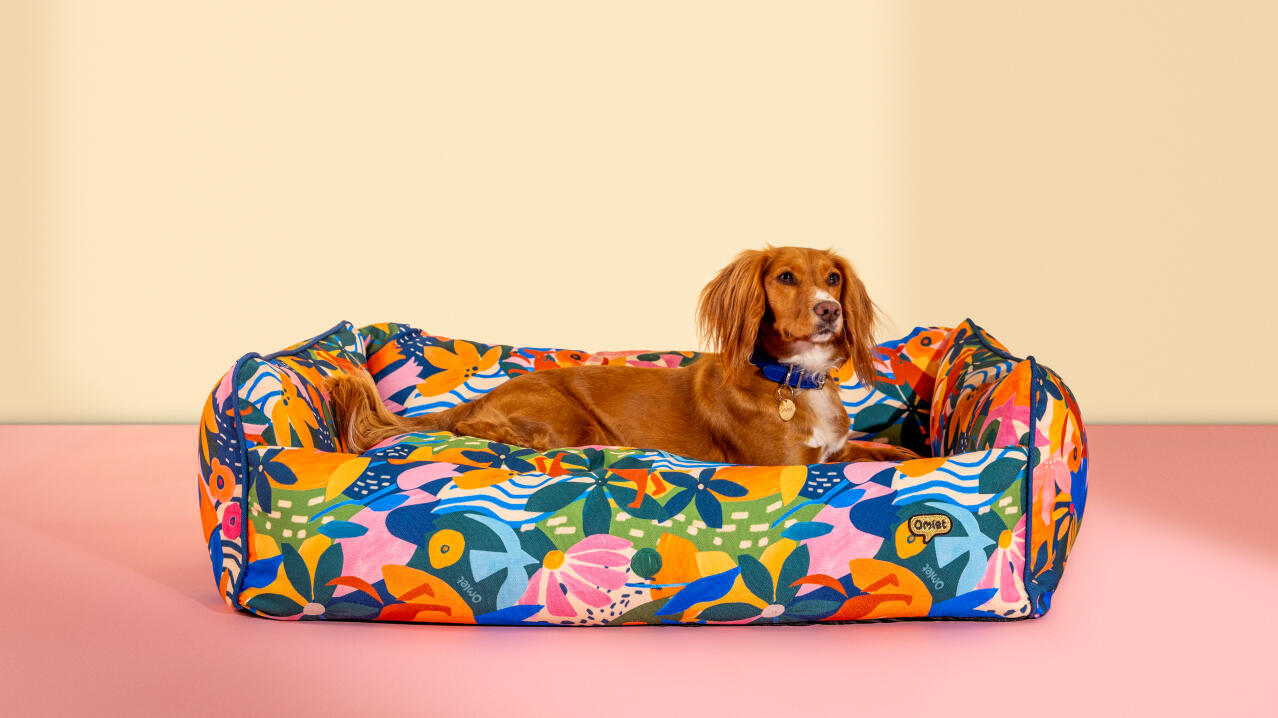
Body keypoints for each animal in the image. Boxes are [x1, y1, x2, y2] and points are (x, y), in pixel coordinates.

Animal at [319, 245, 920, 465]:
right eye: (787, 278)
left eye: (834, 278)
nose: (829, 311)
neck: (794, 379)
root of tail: (481, 396)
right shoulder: (787, 467)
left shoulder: (835, 452)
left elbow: (874, 450)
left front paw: (909, 453)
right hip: (567, 419)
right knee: (485, 432)